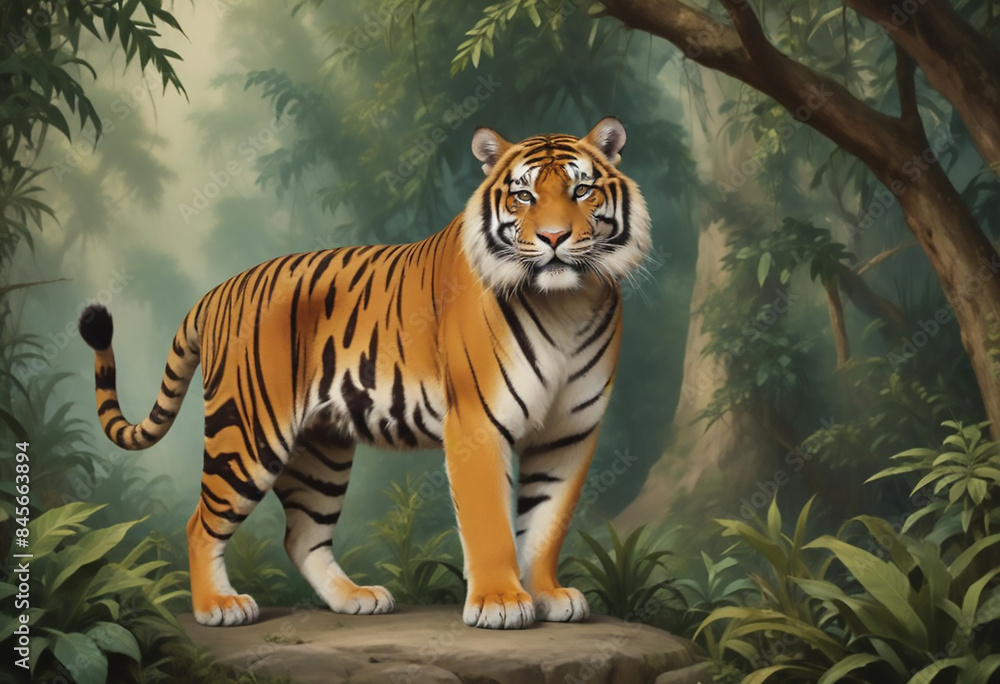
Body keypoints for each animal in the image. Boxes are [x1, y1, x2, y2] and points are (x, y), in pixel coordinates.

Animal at [78, 117, 650, 630]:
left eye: (581, 190)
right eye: (524, 197)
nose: (554, 238)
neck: (565, 303)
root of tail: (218, 292)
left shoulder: (568, 434)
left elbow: (547, 522)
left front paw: (548, 595)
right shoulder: (479, 423)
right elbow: (491, 521)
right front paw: (501, 603)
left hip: (320, 451)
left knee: (302, 536)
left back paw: (356, 598)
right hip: (247, 435)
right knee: (200, 524)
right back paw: (218, 607)